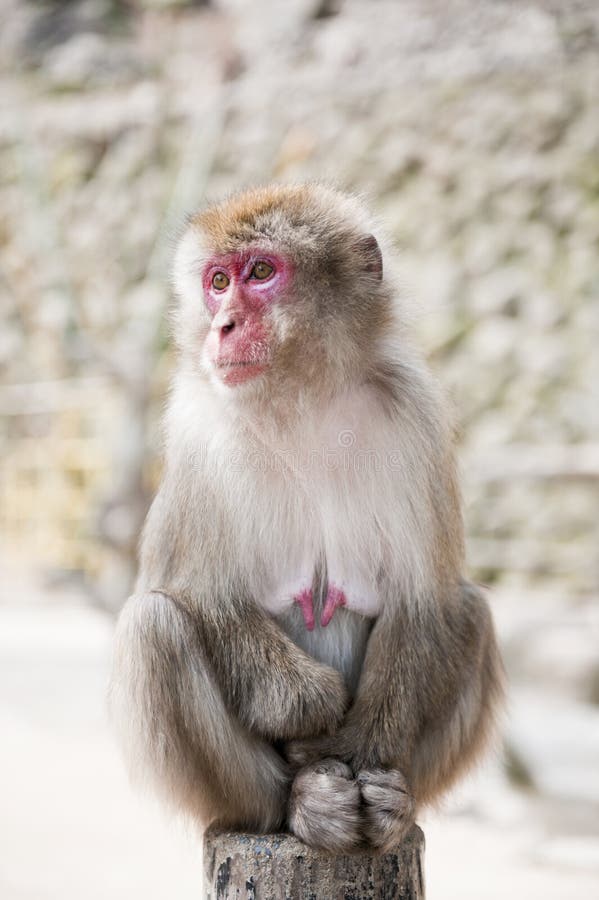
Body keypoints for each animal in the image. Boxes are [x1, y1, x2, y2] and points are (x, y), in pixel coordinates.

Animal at [109, 183, 504, 854]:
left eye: (261, 273)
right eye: (218, 281)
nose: (223, 325)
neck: (302, 397)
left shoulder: (415, 412)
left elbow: (424, 599)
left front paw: (359, 748)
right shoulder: (194, 428)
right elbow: (194, 591)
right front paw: (313, 712)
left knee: (471, 613)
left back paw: (394, 805)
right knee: (154, 625)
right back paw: (297, 803)